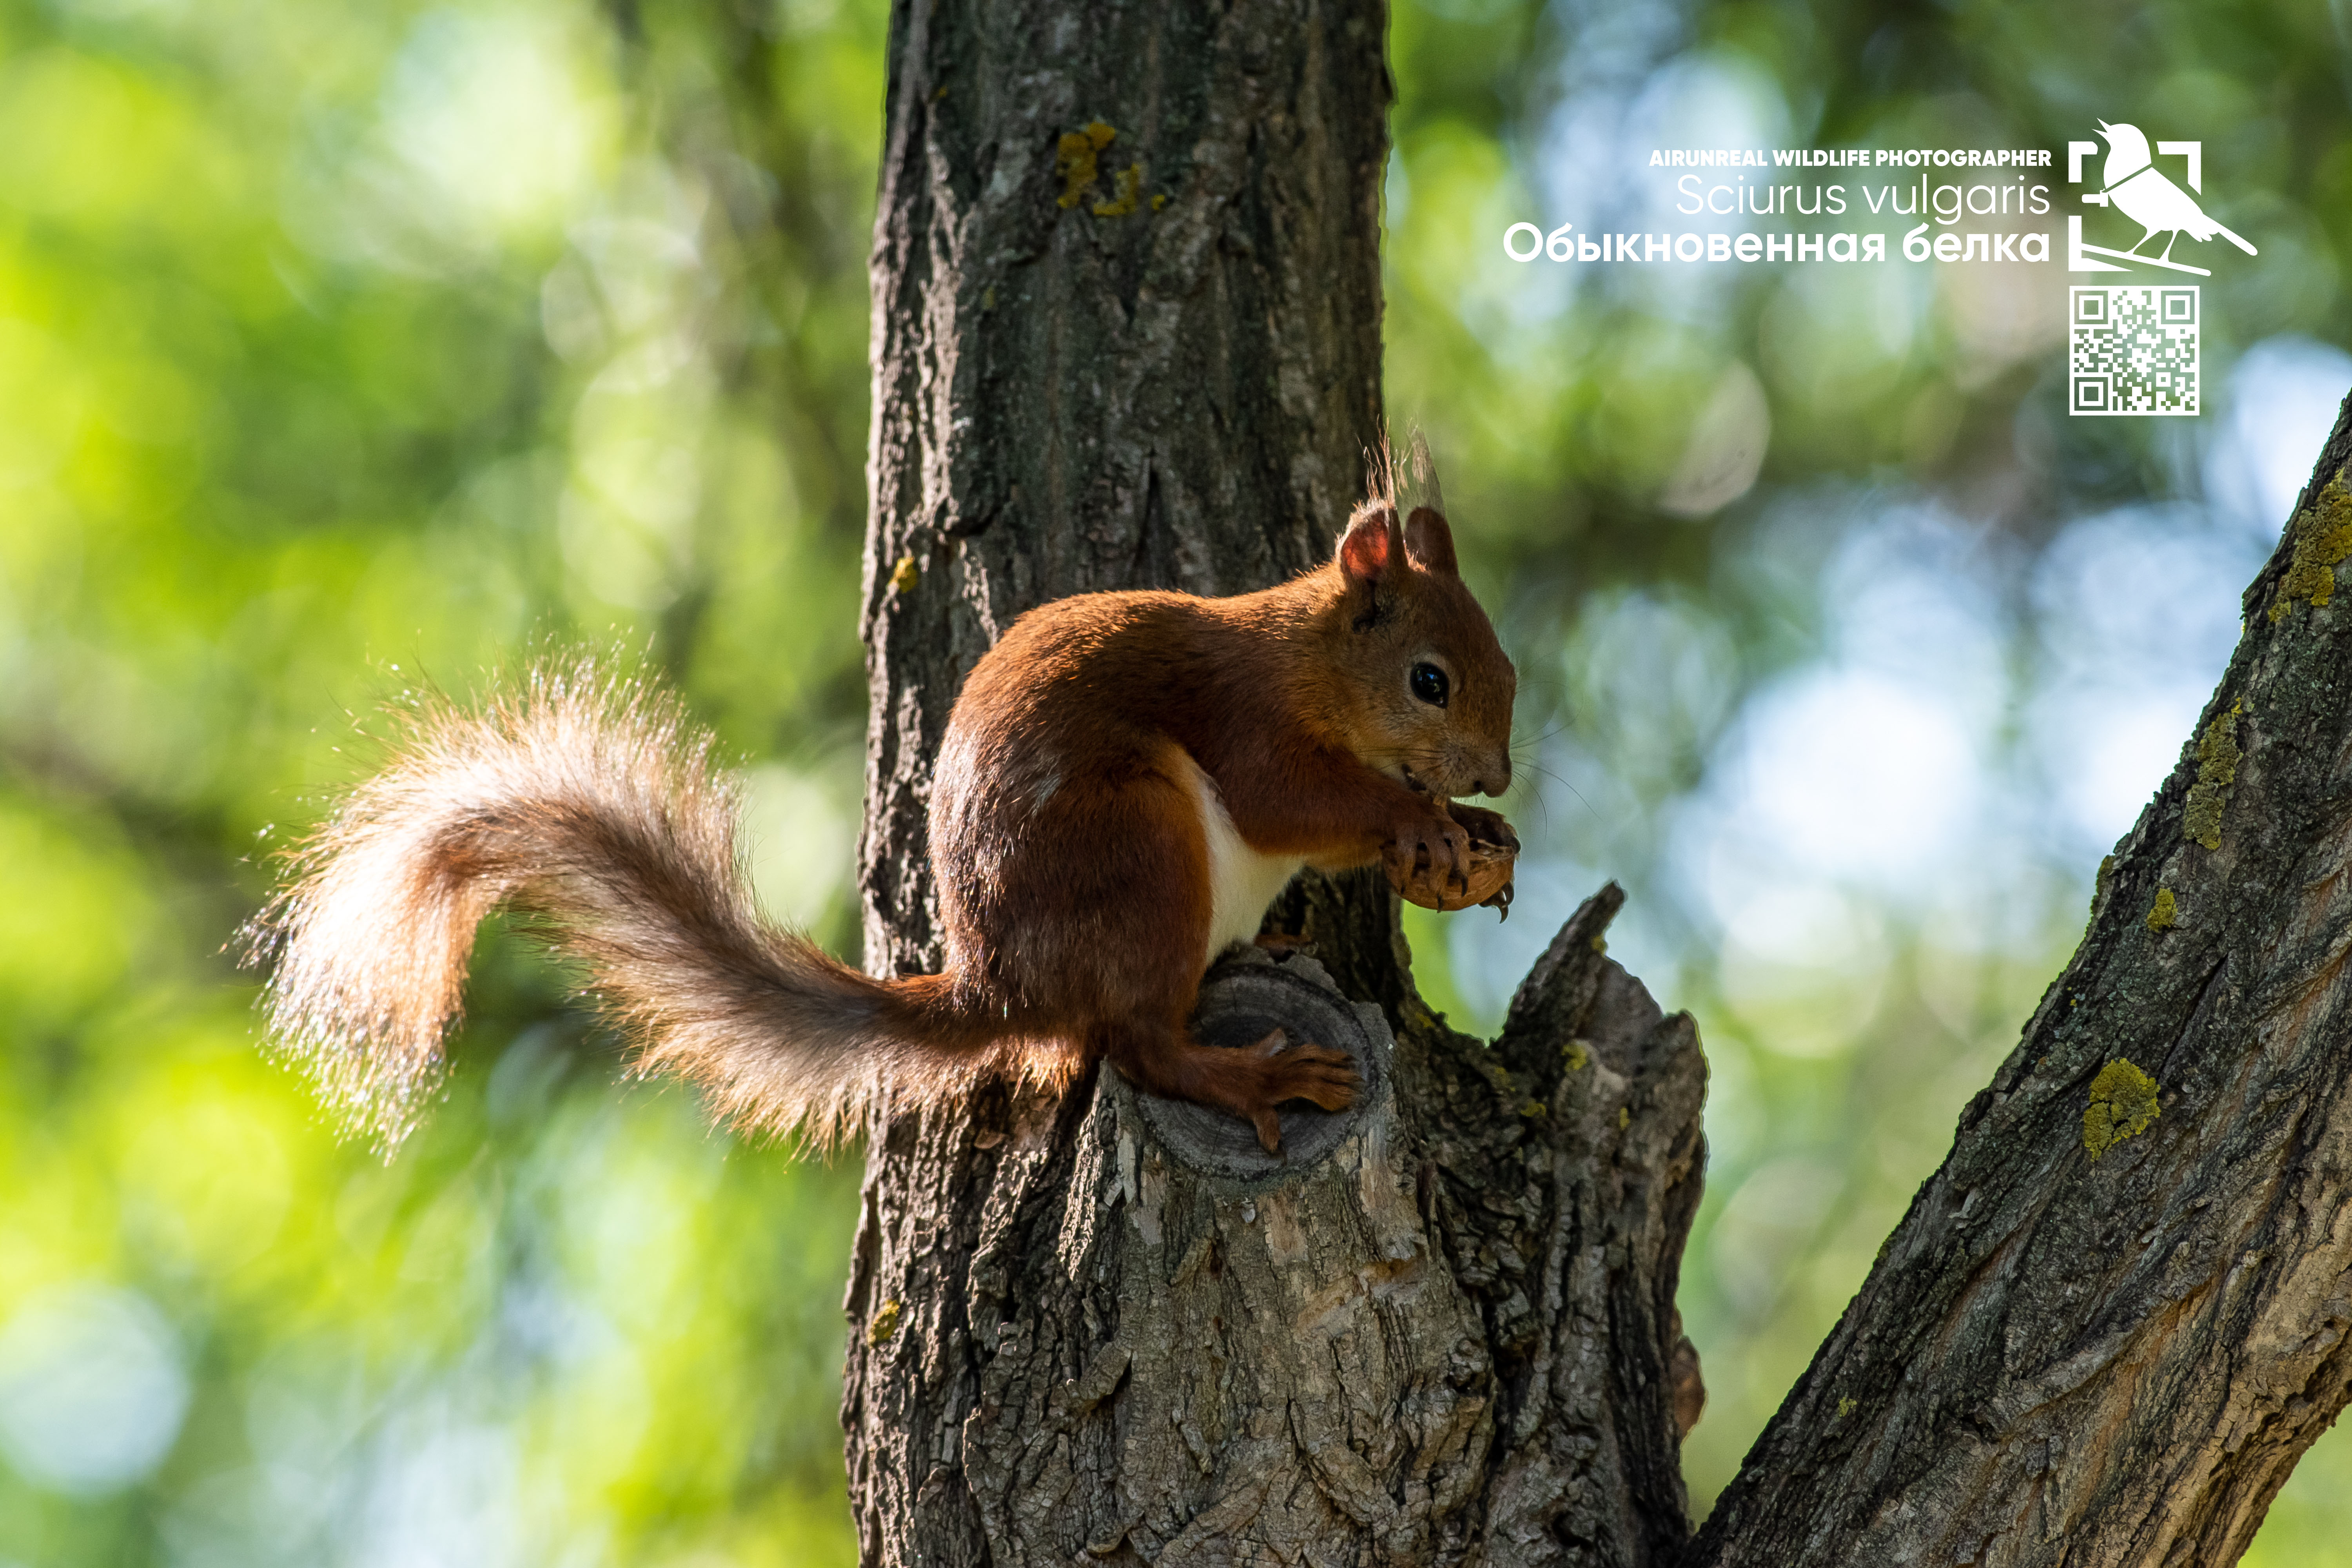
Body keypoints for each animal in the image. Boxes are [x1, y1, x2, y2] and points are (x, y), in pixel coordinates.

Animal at [248, 501, 1515, 1152]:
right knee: (1141, 1046)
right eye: (1430, 680)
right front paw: (1417, 816)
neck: (1306, 657)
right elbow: (1290, 798)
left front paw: (1460, 836)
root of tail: (1004, 985)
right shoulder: (1246, 722)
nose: (1498, 777)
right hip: (1140, 844)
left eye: (1500, 665)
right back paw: (1258, 1078)